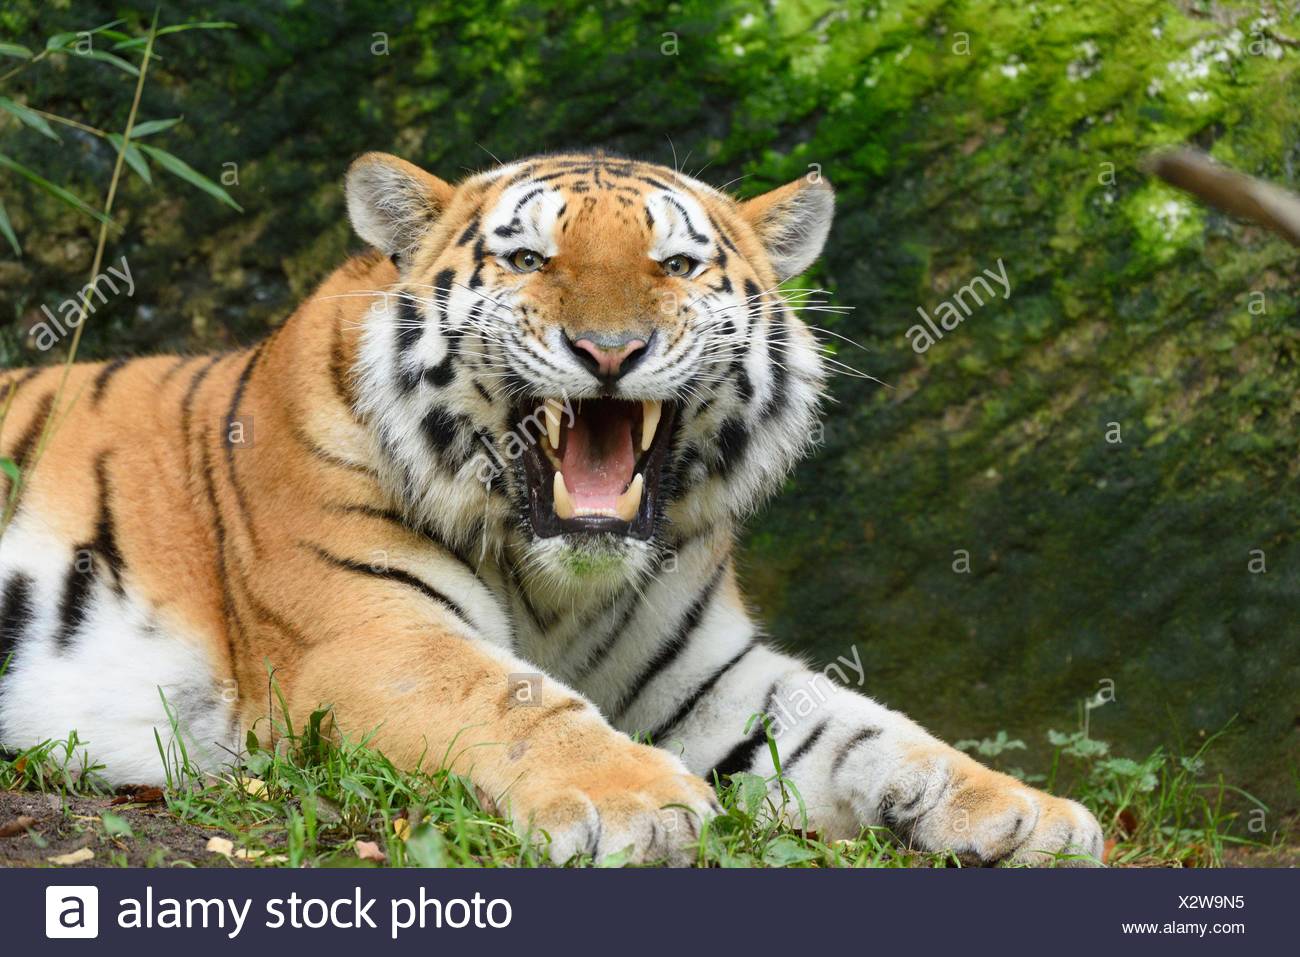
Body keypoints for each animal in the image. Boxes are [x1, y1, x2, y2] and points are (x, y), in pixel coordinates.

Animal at [0, 149, 1103, 866]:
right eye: (528, 260)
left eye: (675, 265)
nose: (609, 351)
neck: (559, 585)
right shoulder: (369, 635)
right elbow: (514, 699)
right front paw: (642, 803)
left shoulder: (707, 677)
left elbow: (867, 729)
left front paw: (1029, 810)